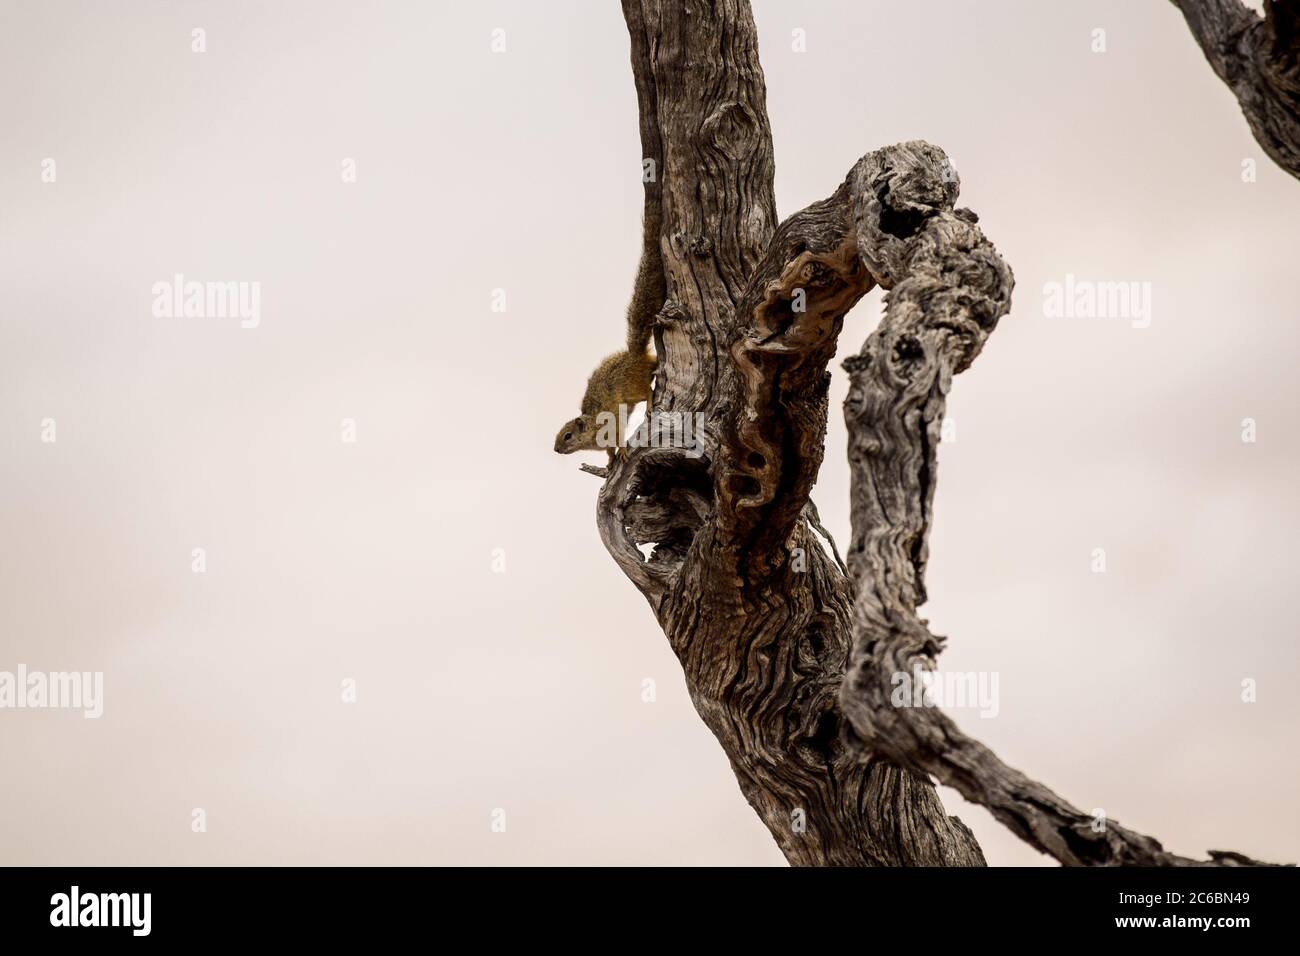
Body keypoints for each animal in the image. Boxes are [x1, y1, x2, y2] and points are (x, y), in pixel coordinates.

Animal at [553, 209, 664, 459]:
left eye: (568, 436)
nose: (555, 449)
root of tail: (634, 356)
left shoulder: (612, 425)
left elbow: (619, 437)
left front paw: (622, 451)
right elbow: (608, 451)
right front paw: (610, 461)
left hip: (631, 390)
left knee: (646, 390)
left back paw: (649, 402)